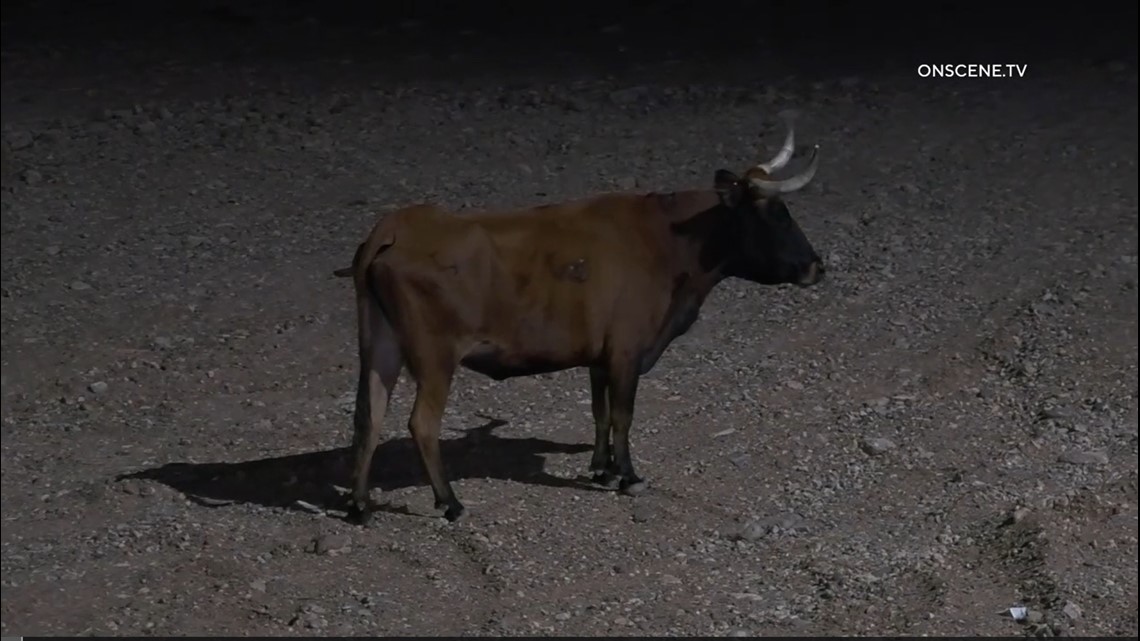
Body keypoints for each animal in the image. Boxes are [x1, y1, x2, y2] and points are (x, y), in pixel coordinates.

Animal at [334, 119, 825, 525]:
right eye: (777, 214)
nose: (817, 267)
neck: (667, 240)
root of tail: (399, 225)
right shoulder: (627, 349)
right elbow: (623, 414)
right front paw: (628, 476)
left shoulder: (599, 356)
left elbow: (599, 412)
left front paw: (601, 470)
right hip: (434, 356)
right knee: (421, 423)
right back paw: (449, 502)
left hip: (380, 345)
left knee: (367, 416)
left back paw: (359, 505)